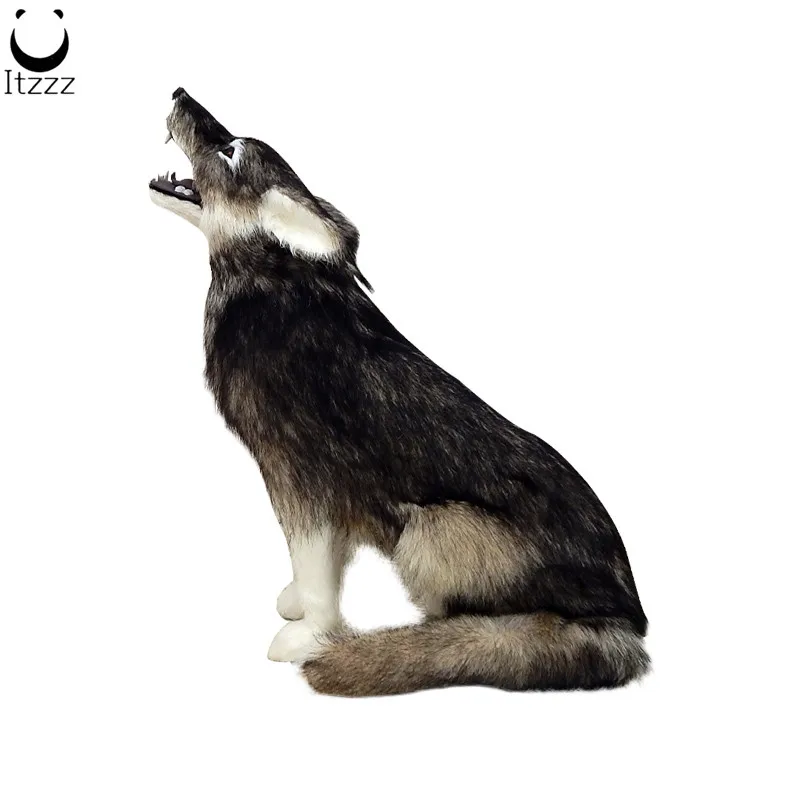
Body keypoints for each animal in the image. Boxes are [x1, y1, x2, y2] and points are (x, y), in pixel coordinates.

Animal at [149, 88, 649, 696]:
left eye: (230, 150)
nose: (179, 93)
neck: (269, 283)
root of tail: (625, 621)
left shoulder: (300, 475)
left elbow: (314, 564)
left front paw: (310, 634)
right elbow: (325, 562)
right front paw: (301, 607)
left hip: (435, 527)